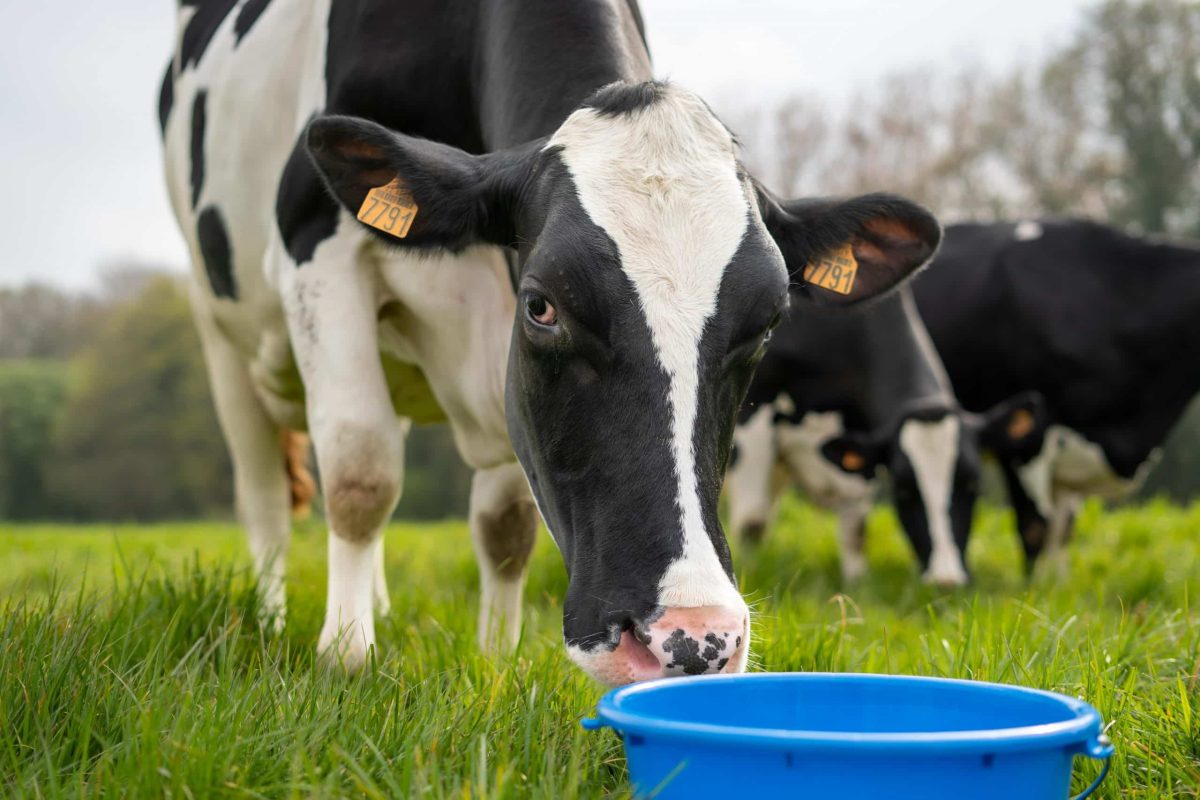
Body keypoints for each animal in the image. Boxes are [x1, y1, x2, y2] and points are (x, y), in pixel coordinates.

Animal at [159, 0, 941, 685]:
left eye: (770, 321)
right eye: (542, 307)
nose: (692, 638)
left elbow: (505, 527)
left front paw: (494, 662)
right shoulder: (317, 245)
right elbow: (361, 473)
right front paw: (346, 658)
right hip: (216, 324)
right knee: (264, 496)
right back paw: (272, 618)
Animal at [726, 288, 1041, 585]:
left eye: (973, 484)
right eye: (902, 491)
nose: (946, 580)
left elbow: (856, 526)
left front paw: (856, 583)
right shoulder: (753, 408)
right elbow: (752, 521)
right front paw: (749, 574)